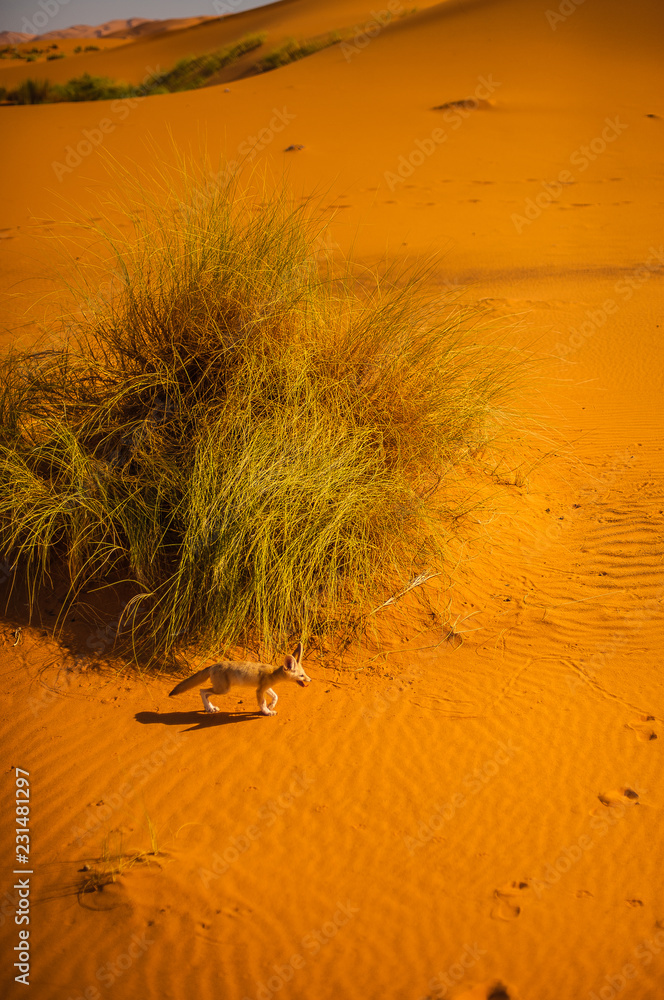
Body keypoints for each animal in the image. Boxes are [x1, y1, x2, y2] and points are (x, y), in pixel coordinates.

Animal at [168, 642, 311, 716]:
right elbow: (262, 703)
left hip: (220, 689)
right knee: (202, 691)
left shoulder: (265, 687)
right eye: (301, 676)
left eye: (304, 674)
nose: (310, 680)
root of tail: (213, 665)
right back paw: (209, 708)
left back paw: (210, 708)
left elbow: (275, 696)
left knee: (205, 693)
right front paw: (266, 711)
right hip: (223, 690)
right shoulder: (259, 690)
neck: (273, 673)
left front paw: (270, 706)